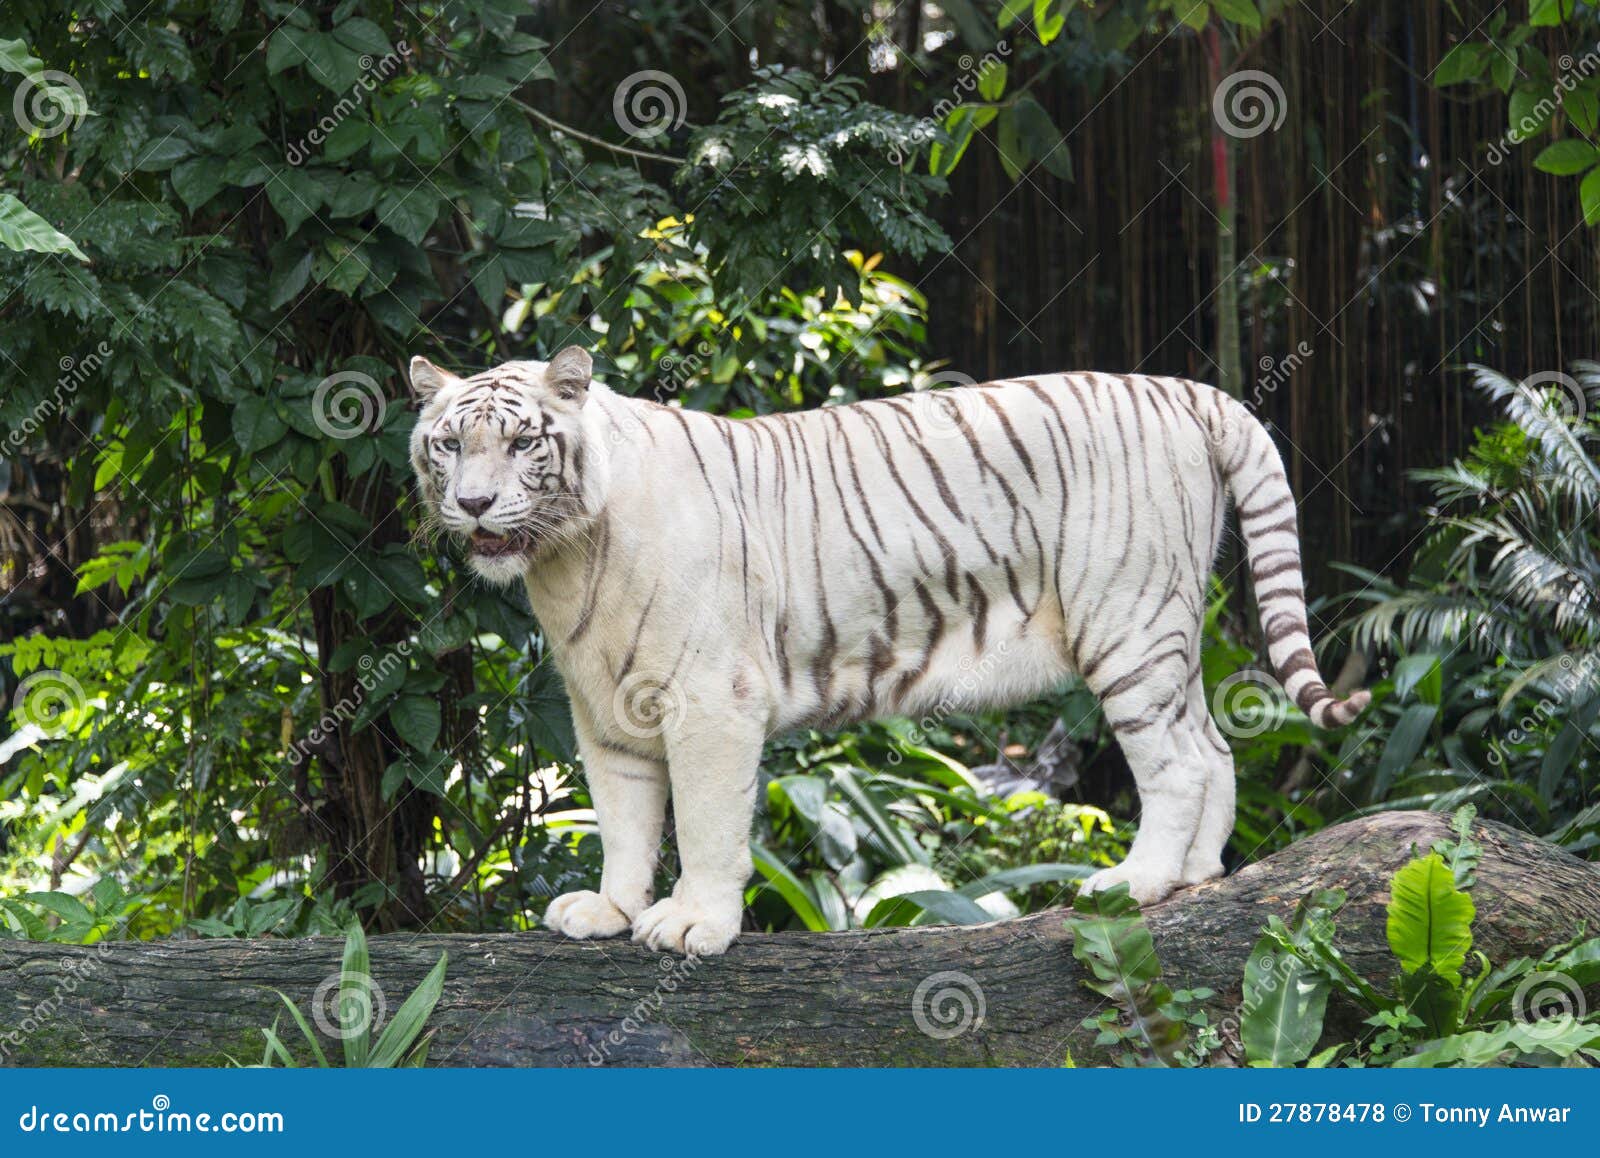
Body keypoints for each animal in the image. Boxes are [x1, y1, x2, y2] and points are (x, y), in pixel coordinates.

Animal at [407, 346, 1368, 957]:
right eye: (450, 443)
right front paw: (610, 908)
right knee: (1213, 747)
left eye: (522, 441)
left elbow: (709, 826)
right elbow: (627, 819)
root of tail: (1184, 390)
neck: (568, 557)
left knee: (1179, 763)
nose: (475, 503)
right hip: (1167, 630)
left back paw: (1136, 884)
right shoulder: (605, 708)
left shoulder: (712, 700)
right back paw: (1198, 878)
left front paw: (694, 925)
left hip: (1126, 621)